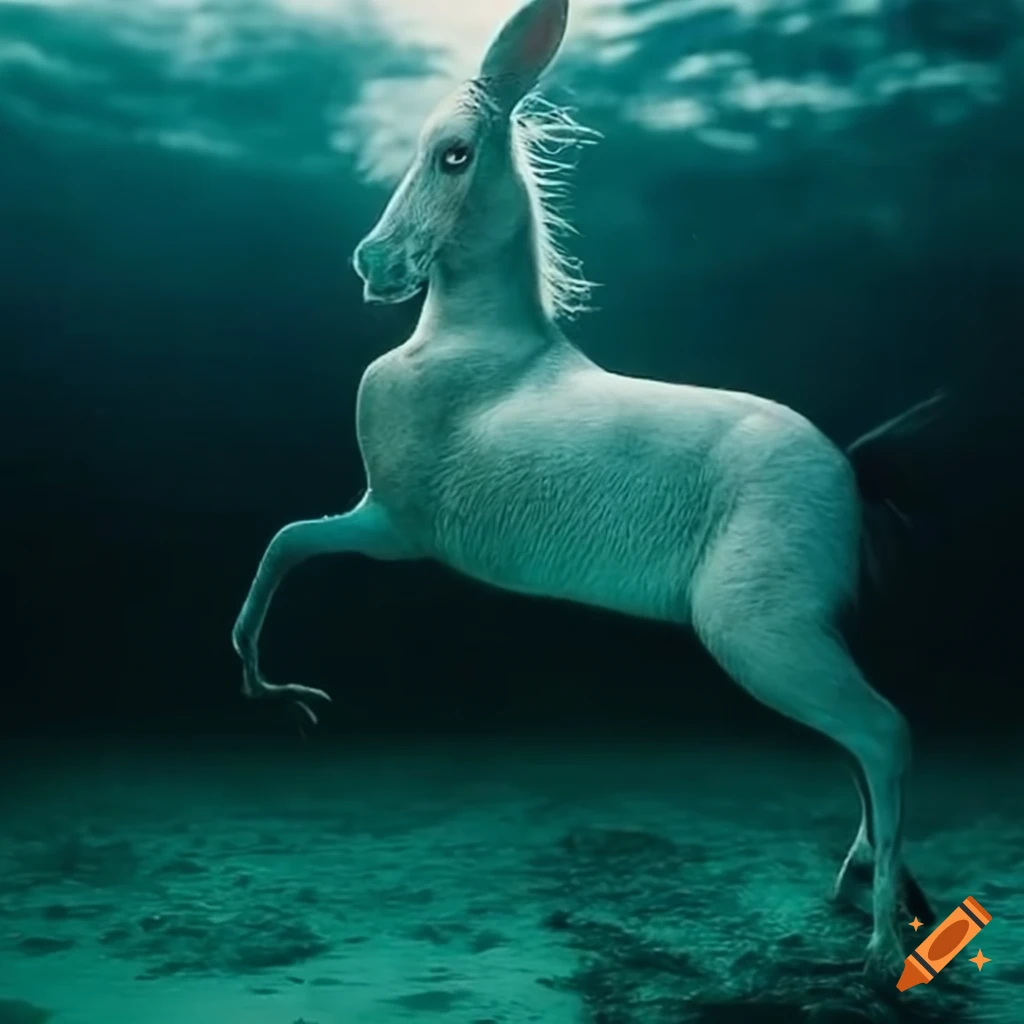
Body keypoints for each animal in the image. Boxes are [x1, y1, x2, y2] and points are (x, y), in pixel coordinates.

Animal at [232, 0, 940, 977]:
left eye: (453, 154)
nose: (372, 264)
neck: (473, 348)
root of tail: (850, 469)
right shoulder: (385, 520)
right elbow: (285, 542)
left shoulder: (392, 524)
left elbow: (285, 543)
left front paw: (274, 688)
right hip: (800, 636)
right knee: (856, 752)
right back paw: (873, 893)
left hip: (763, 634)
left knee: (883, 733)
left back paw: (880, 945)